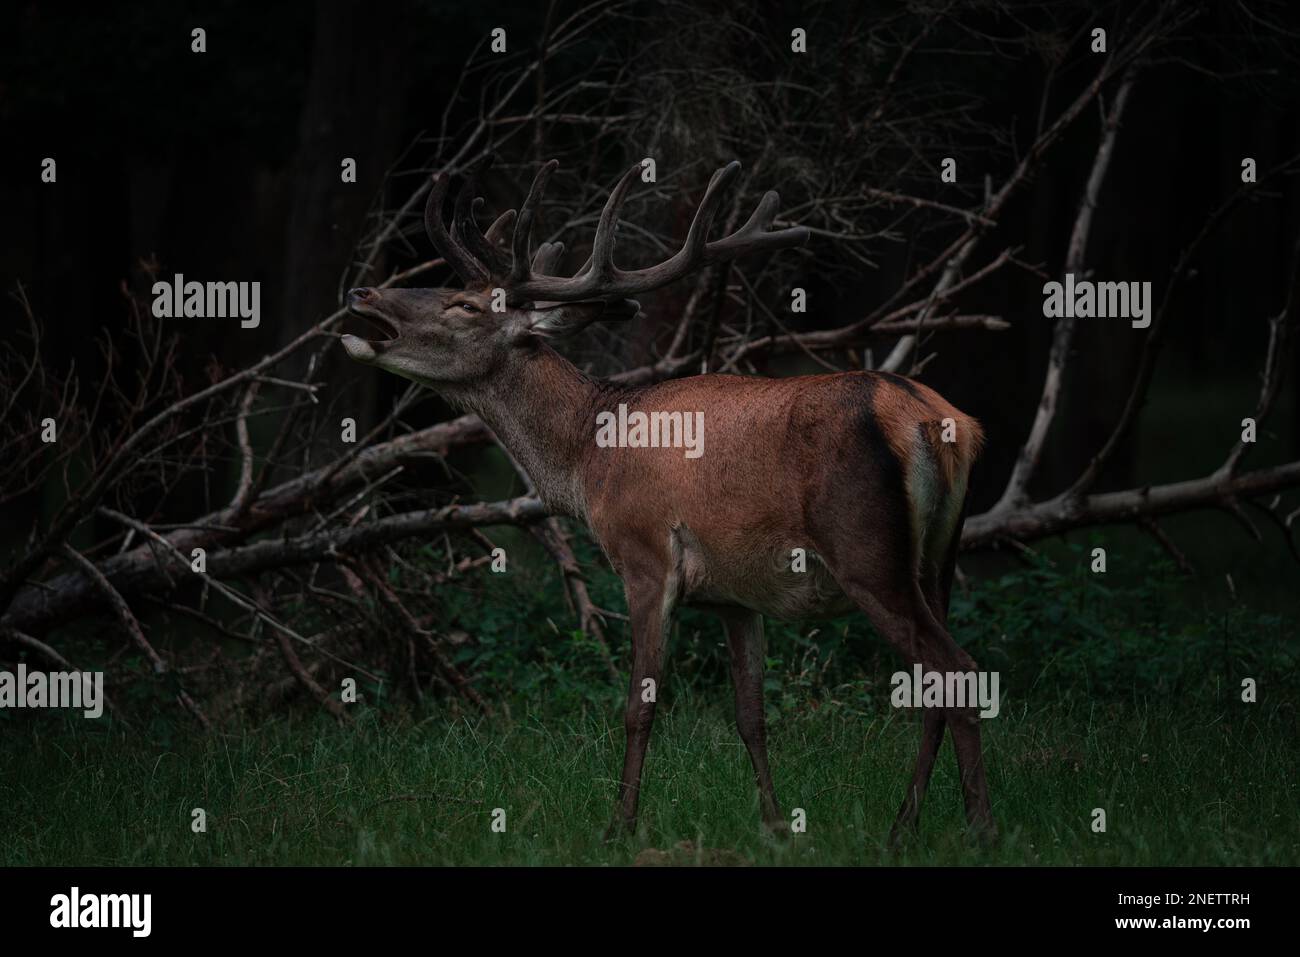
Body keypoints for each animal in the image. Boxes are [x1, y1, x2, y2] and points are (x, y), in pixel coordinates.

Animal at [340, 155, 994, 843]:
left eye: (463, 304)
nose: (361, 293)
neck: (590, 461)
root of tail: (936, 422)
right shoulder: (736, 594)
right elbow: (750, 713)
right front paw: (773, 823)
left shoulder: (645, 555)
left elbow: (639, 706)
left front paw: (619, 826)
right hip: (938, 559)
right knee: (932, 683)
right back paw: (904, 825)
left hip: (867, 552)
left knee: (957, 669)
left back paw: (979, 827)